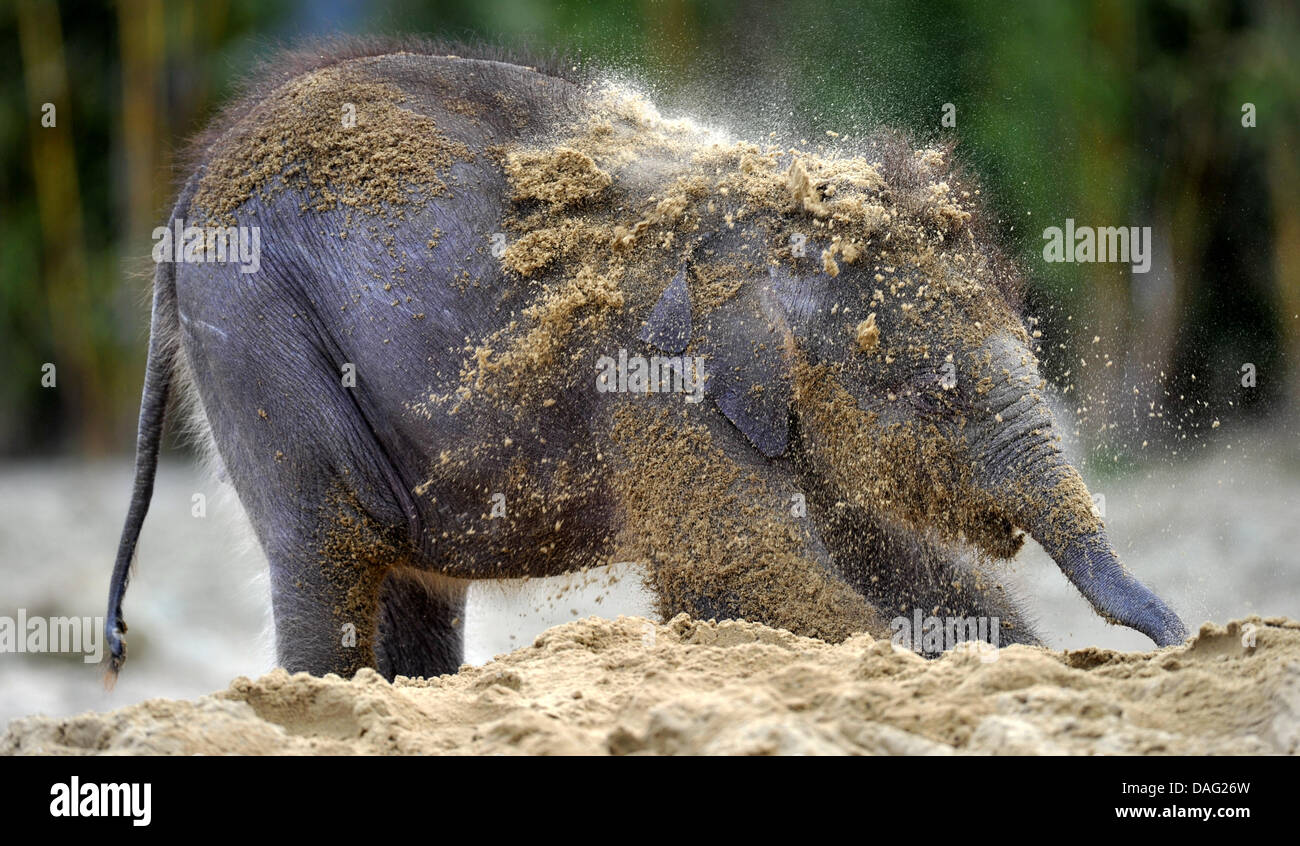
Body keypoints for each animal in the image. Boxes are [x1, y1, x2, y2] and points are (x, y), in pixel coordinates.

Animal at [106, 39, 1187, 682]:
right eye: (933, 396)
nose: (1180, 635)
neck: (769, 220)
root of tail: (185, 190)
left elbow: (888, 556)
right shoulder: (661, 386)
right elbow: (740, 569)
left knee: (414, 585)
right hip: (260, 340)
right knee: (327, 548)